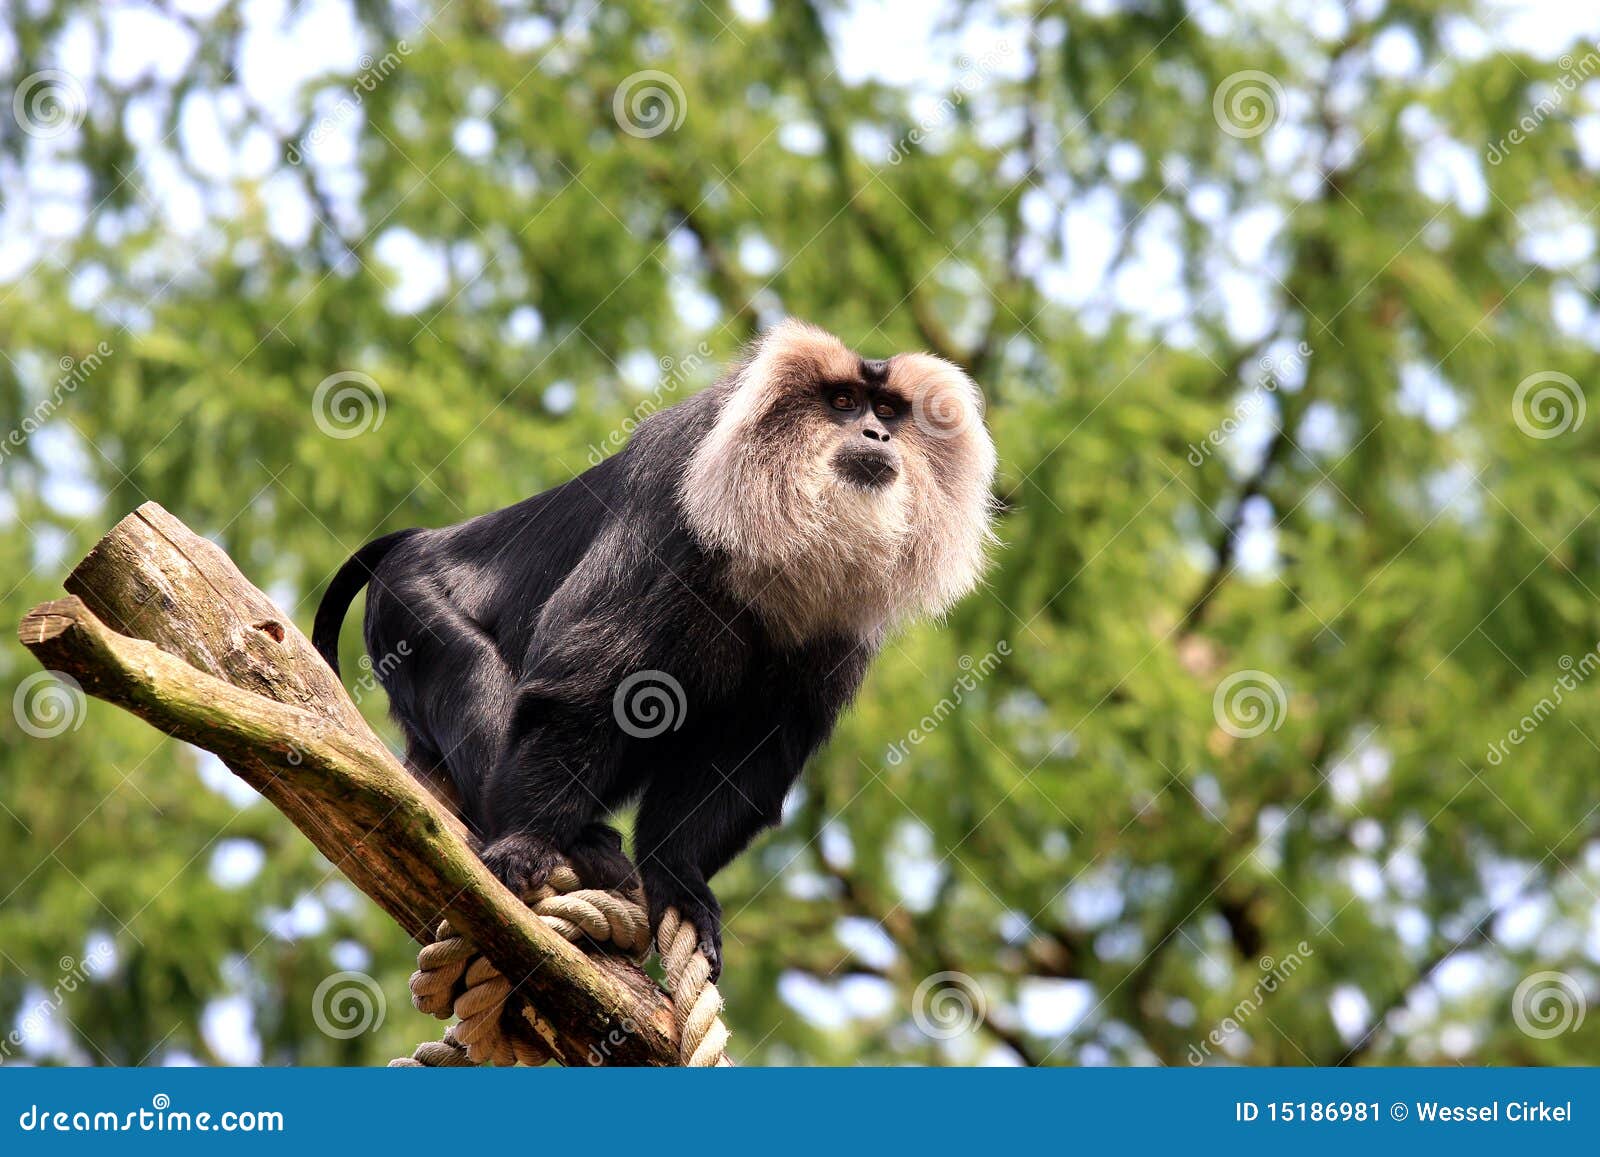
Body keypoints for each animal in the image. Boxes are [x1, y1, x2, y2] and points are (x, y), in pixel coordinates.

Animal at [312, 320, 996, 978]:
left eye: (890, 410)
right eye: (845, 402)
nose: (878, 435)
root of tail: (424, 539)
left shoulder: (838, 624)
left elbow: (750, 752)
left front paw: (678, 881)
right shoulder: (673, 505)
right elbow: (586, 686)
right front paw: (528, 842)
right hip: (407, 601)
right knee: (475, 668)